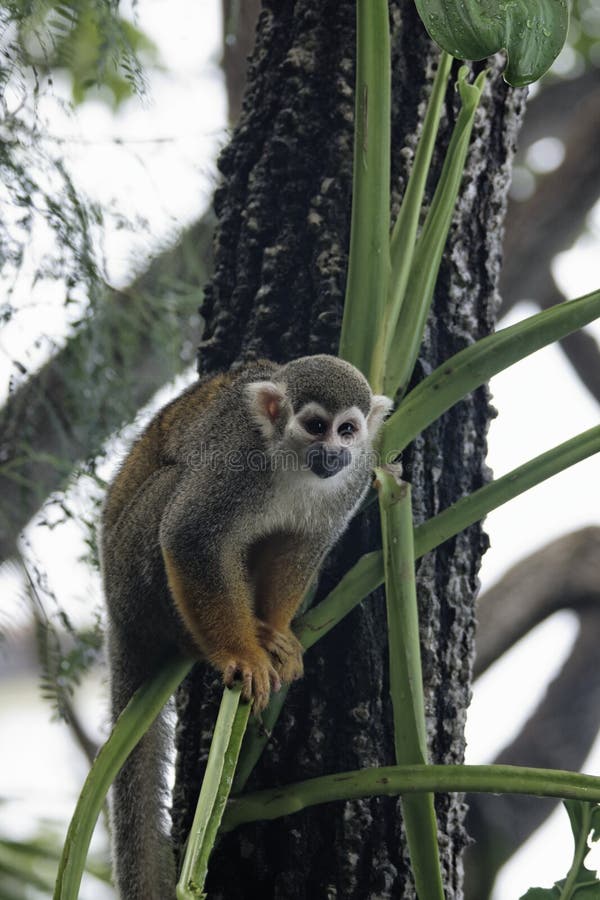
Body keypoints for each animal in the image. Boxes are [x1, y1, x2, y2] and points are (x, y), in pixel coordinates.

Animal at [101, 353, 392, 900]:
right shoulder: (235, 462)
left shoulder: (357, 476)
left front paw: (274, 634)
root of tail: (113, 605)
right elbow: (190, 538)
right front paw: (243, 655)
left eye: (348, 430)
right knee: (174, 495)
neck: (291, 462)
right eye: (316, 426)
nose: (334, 453)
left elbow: (303, 545)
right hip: (133, 573)